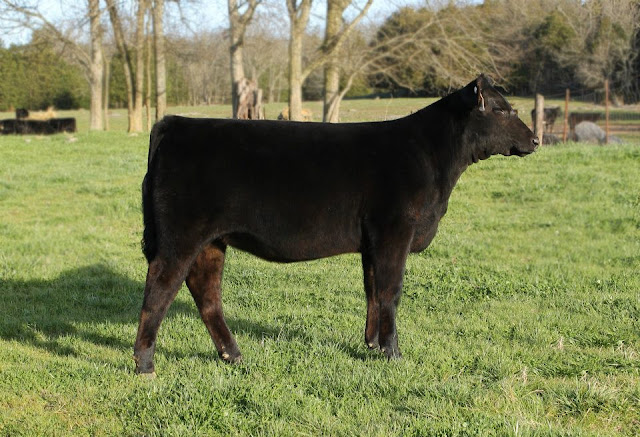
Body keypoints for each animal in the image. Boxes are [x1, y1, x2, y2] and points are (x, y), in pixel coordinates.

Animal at [133, 74, 539, 376]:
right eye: (502, 110)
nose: (535, 139)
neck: (433, 159)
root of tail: (175, 122)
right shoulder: (394, 231)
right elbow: (391, 292)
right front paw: (393, 353)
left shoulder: (373, 240)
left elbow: (373, 290)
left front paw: (372, 345)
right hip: (181, 237)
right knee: (159, 289)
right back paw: (145, 364)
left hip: (211, 241)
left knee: (206, 293)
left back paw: (233, 355)